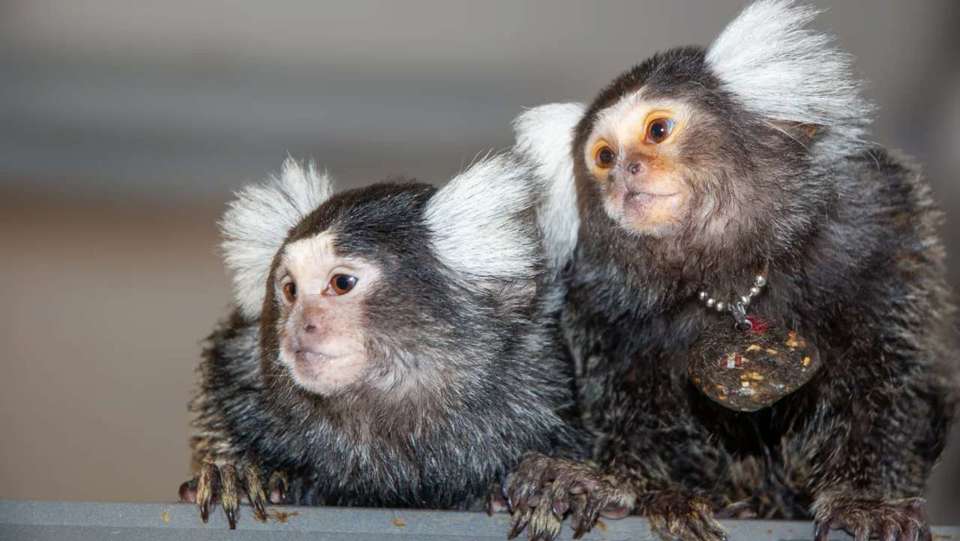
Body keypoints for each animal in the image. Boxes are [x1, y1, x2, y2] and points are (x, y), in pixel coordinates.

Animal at [177, 154, 585, 528]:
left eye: (341, 283)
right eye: (290, 290)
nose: (298, 328)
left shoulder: (544, 376)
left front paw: (550, 482)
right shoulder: (236, 367)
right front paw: (236, 474)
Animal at [504, 2, 958, 540]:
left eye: (658, 131)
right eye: (603, 156)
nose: (624, 174)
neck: (730, 275)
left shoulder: (880, 227)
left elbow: (894, 378)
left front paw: (864, 498)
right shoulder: (601, 303)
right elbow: (628, 403)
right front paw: (608, 481)